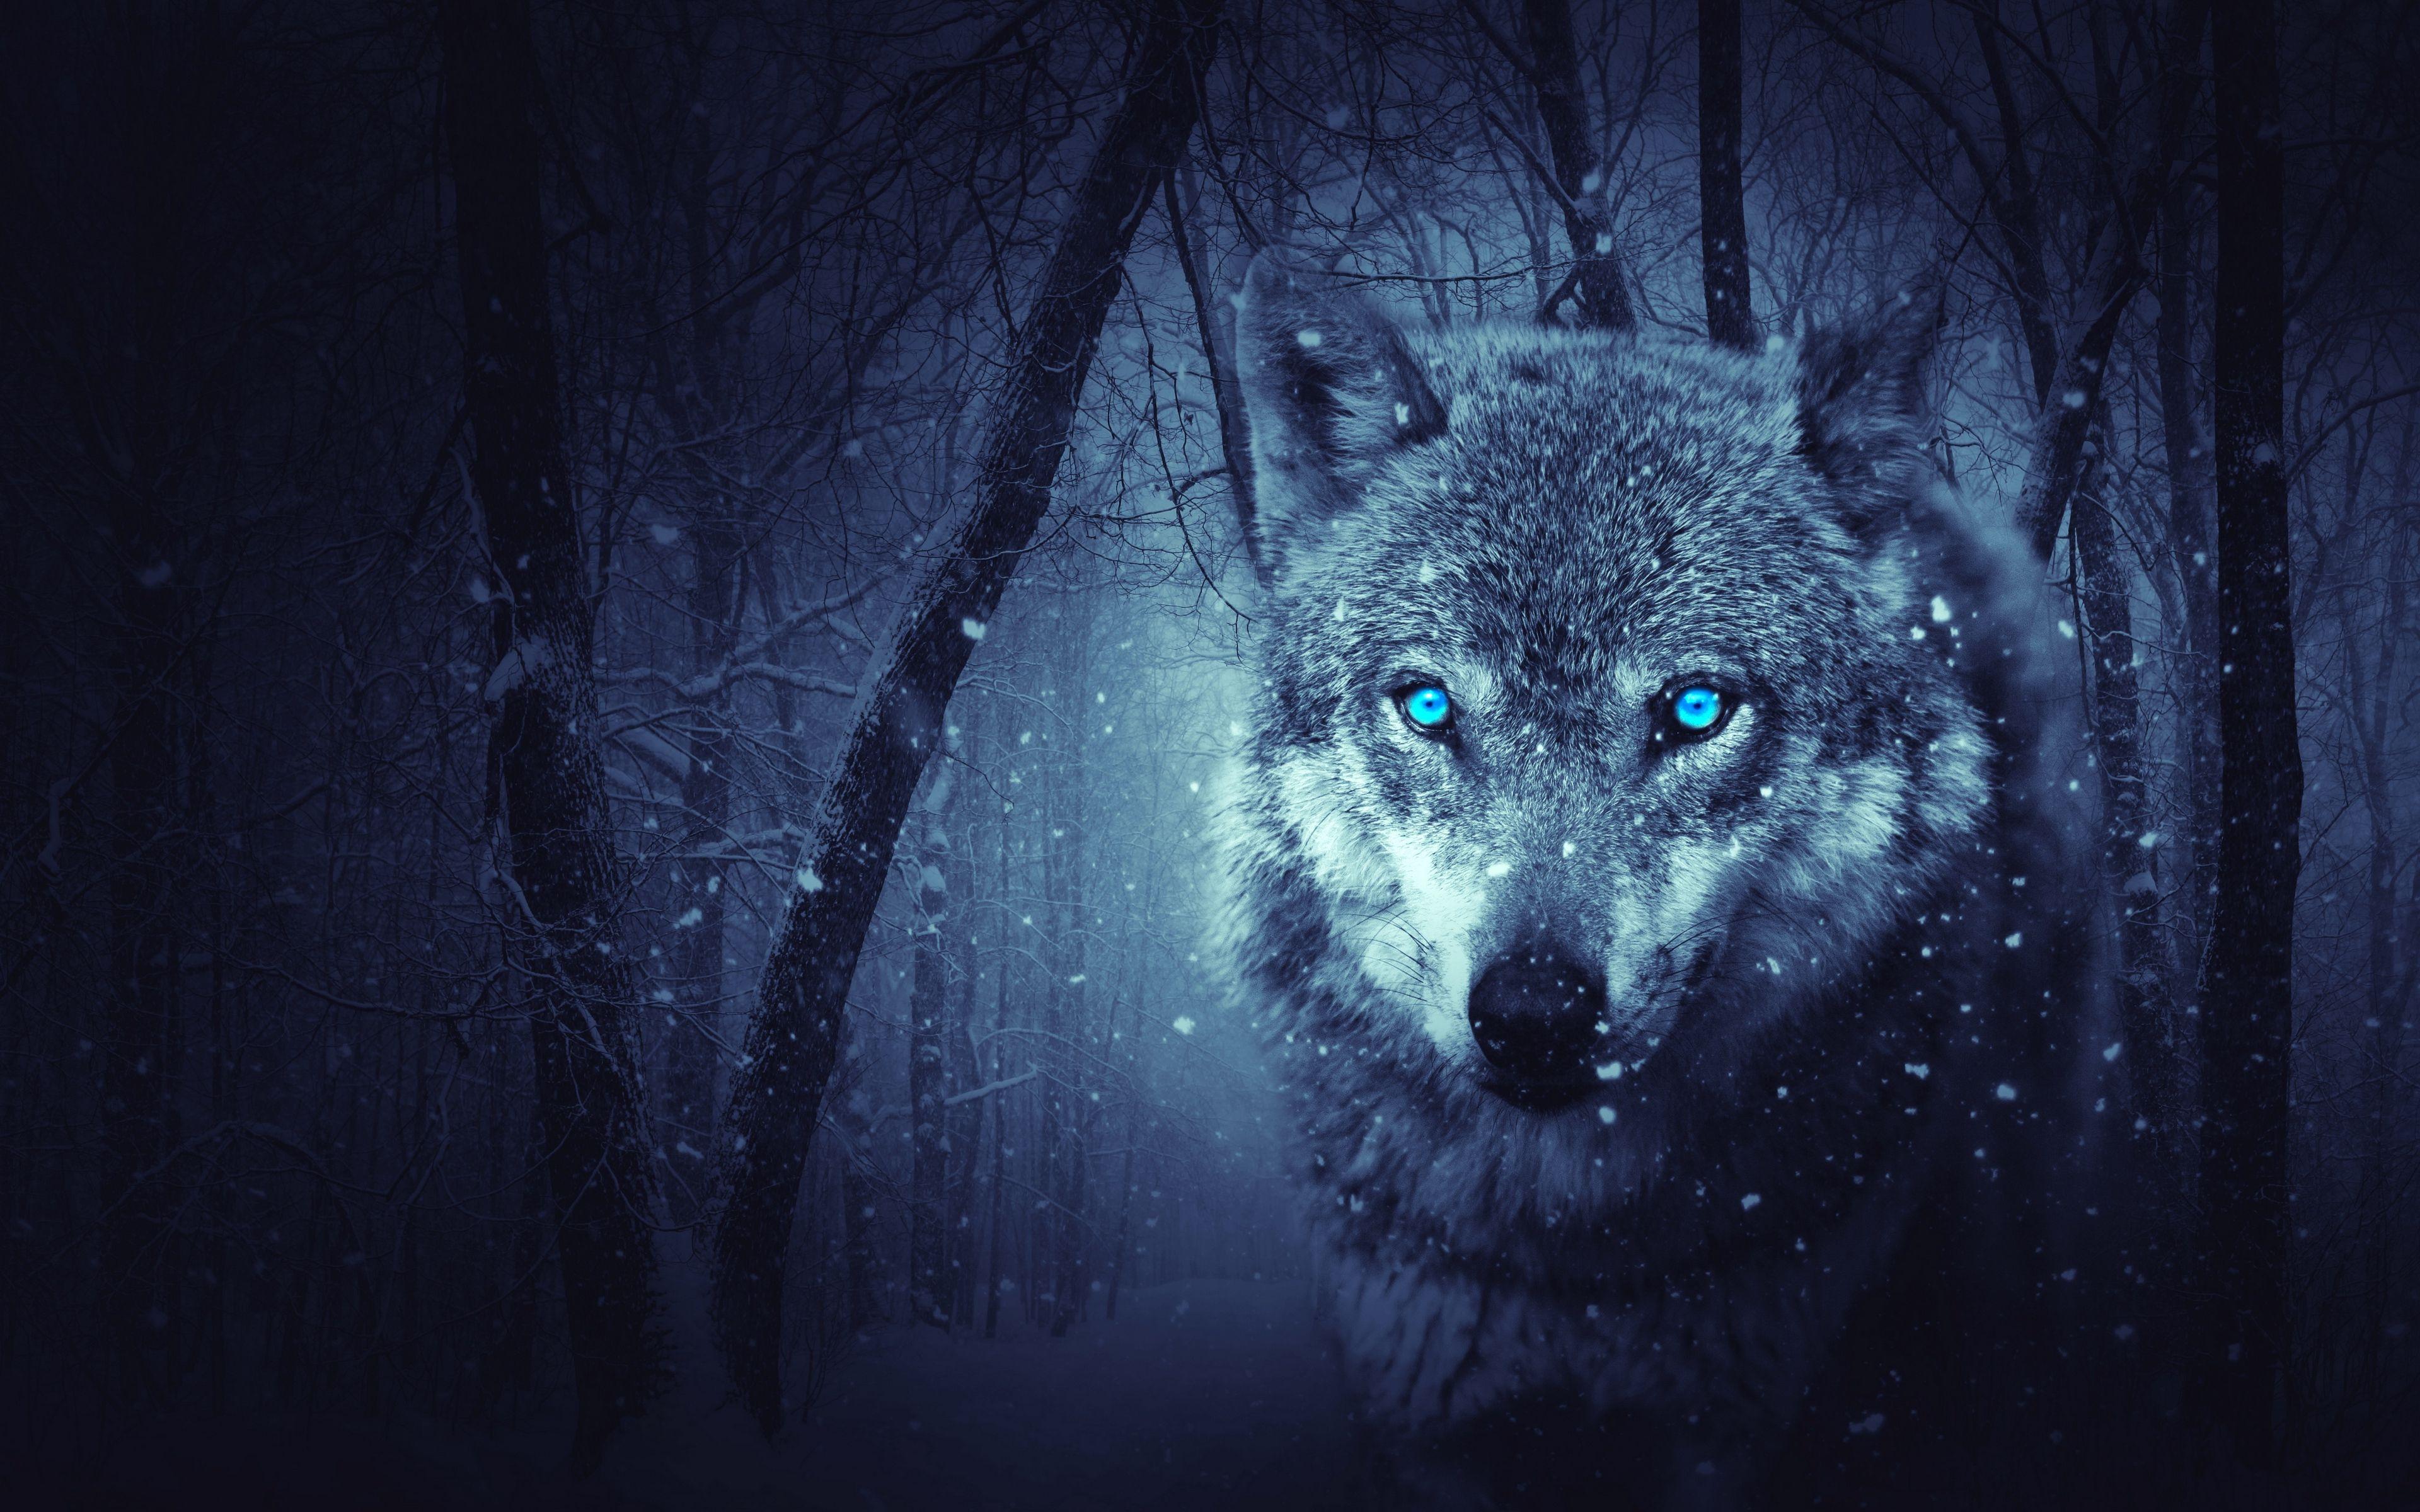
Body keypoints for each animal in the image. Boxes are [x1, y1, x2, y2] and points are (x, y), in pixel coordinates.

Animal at [1210, 255, 2131, 1509]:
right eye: (1430, 705)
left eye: (1695, 709)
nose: (1535, 1015)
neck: (1576, 1257)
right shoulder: (1429, 1421)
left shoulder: (1737, 1422)